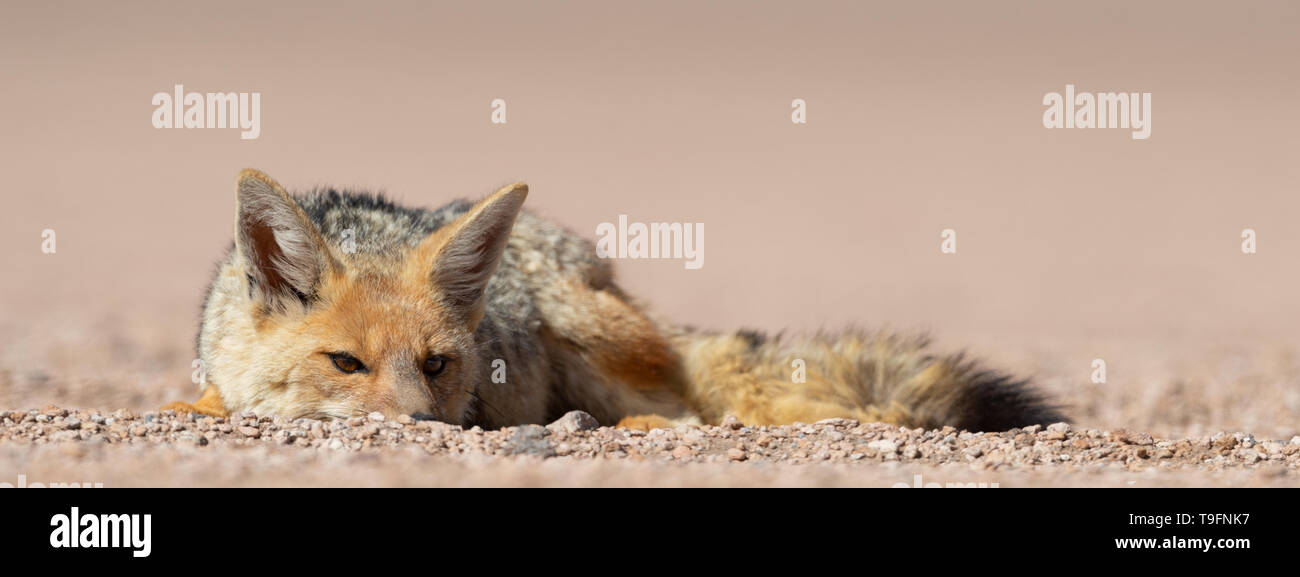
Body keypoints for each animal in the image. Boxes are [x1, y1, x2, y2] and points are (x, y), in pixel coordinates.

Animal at [164, 169, 1065, 431]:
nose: (425, 426)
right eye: (346, 362)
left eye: (438, 365)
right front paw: (198, 404)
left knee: (691, 411)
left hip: (593, 340)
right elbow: (214, 398)